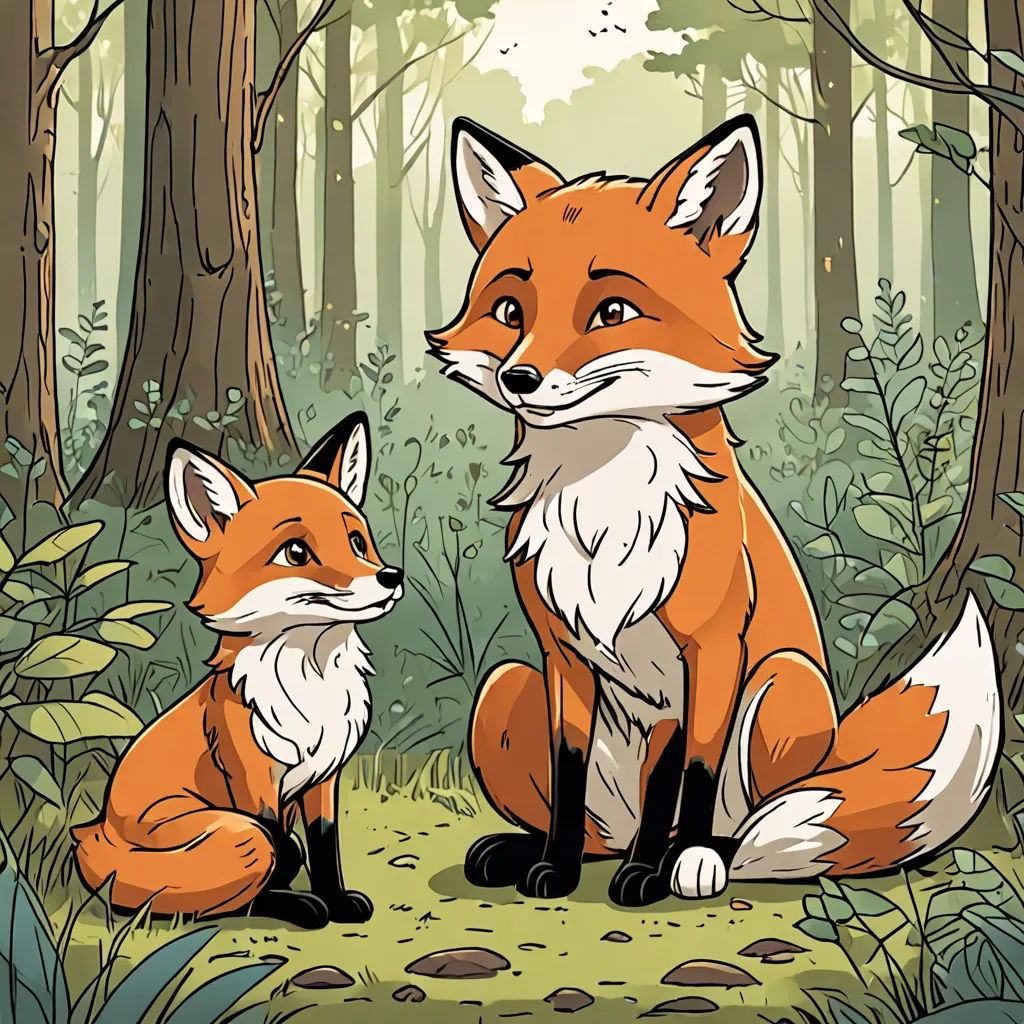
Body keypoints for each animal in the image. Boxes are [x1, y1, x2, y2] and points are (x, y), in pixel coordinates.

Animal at [72, 413, 403, 928]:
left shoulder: (323, 779)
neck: (310, 687)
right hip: (229, 832)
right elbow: (282, 846)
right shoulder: (251, 776)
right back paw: (289, 905)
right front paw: (301, 897)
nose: (391, 577)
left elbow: (323, 845)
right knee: (225, 880)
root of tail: (93, 834)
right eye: (295, 553)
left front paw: (337, 899)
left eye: (356, 542)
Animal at [427, 114, 1002, 906]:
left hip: (781, 684)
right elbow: (571, 779)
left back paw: (700, 854)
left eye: (612, 312)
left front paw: (670, 867)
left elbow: (686, 773)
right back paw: (537, 851)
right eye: (511, 312)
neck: (603, 510)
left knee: (751, 820)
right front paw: (557, 866)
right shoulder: (561, 656)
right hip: (502, 689)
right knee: (608, 824)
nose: (521, 378)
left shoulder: (705, 656)